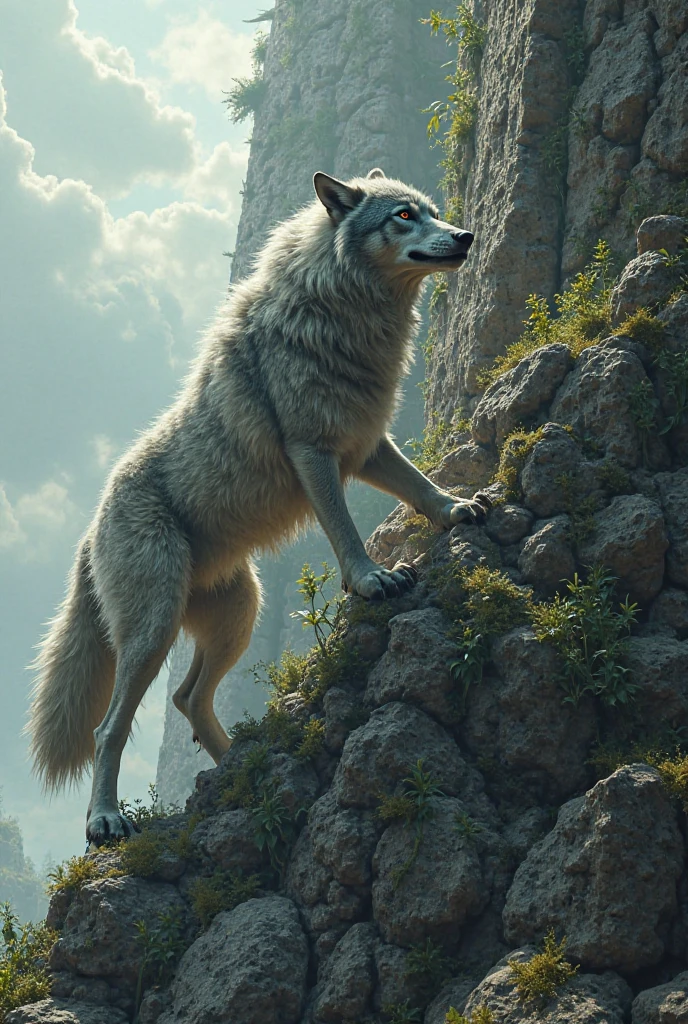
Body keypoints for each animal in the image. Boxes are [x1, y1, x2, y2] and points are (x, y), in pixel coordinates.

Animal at [29, 168, 489, 845]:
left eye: (431, 211)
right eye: (404, 216)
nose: (465, 235)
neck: (342, 313)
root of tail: (88, 536)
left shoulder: (367, 445)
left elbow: (421, 486)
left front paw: (458, 509)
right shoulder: (313, 451)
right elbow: (345, 531)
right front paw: (372, 580)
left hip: (239, 614)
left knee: (188, 699)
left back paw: (237, 770)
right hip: (153, 630)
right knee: (107, 728)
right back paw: (106, 820)